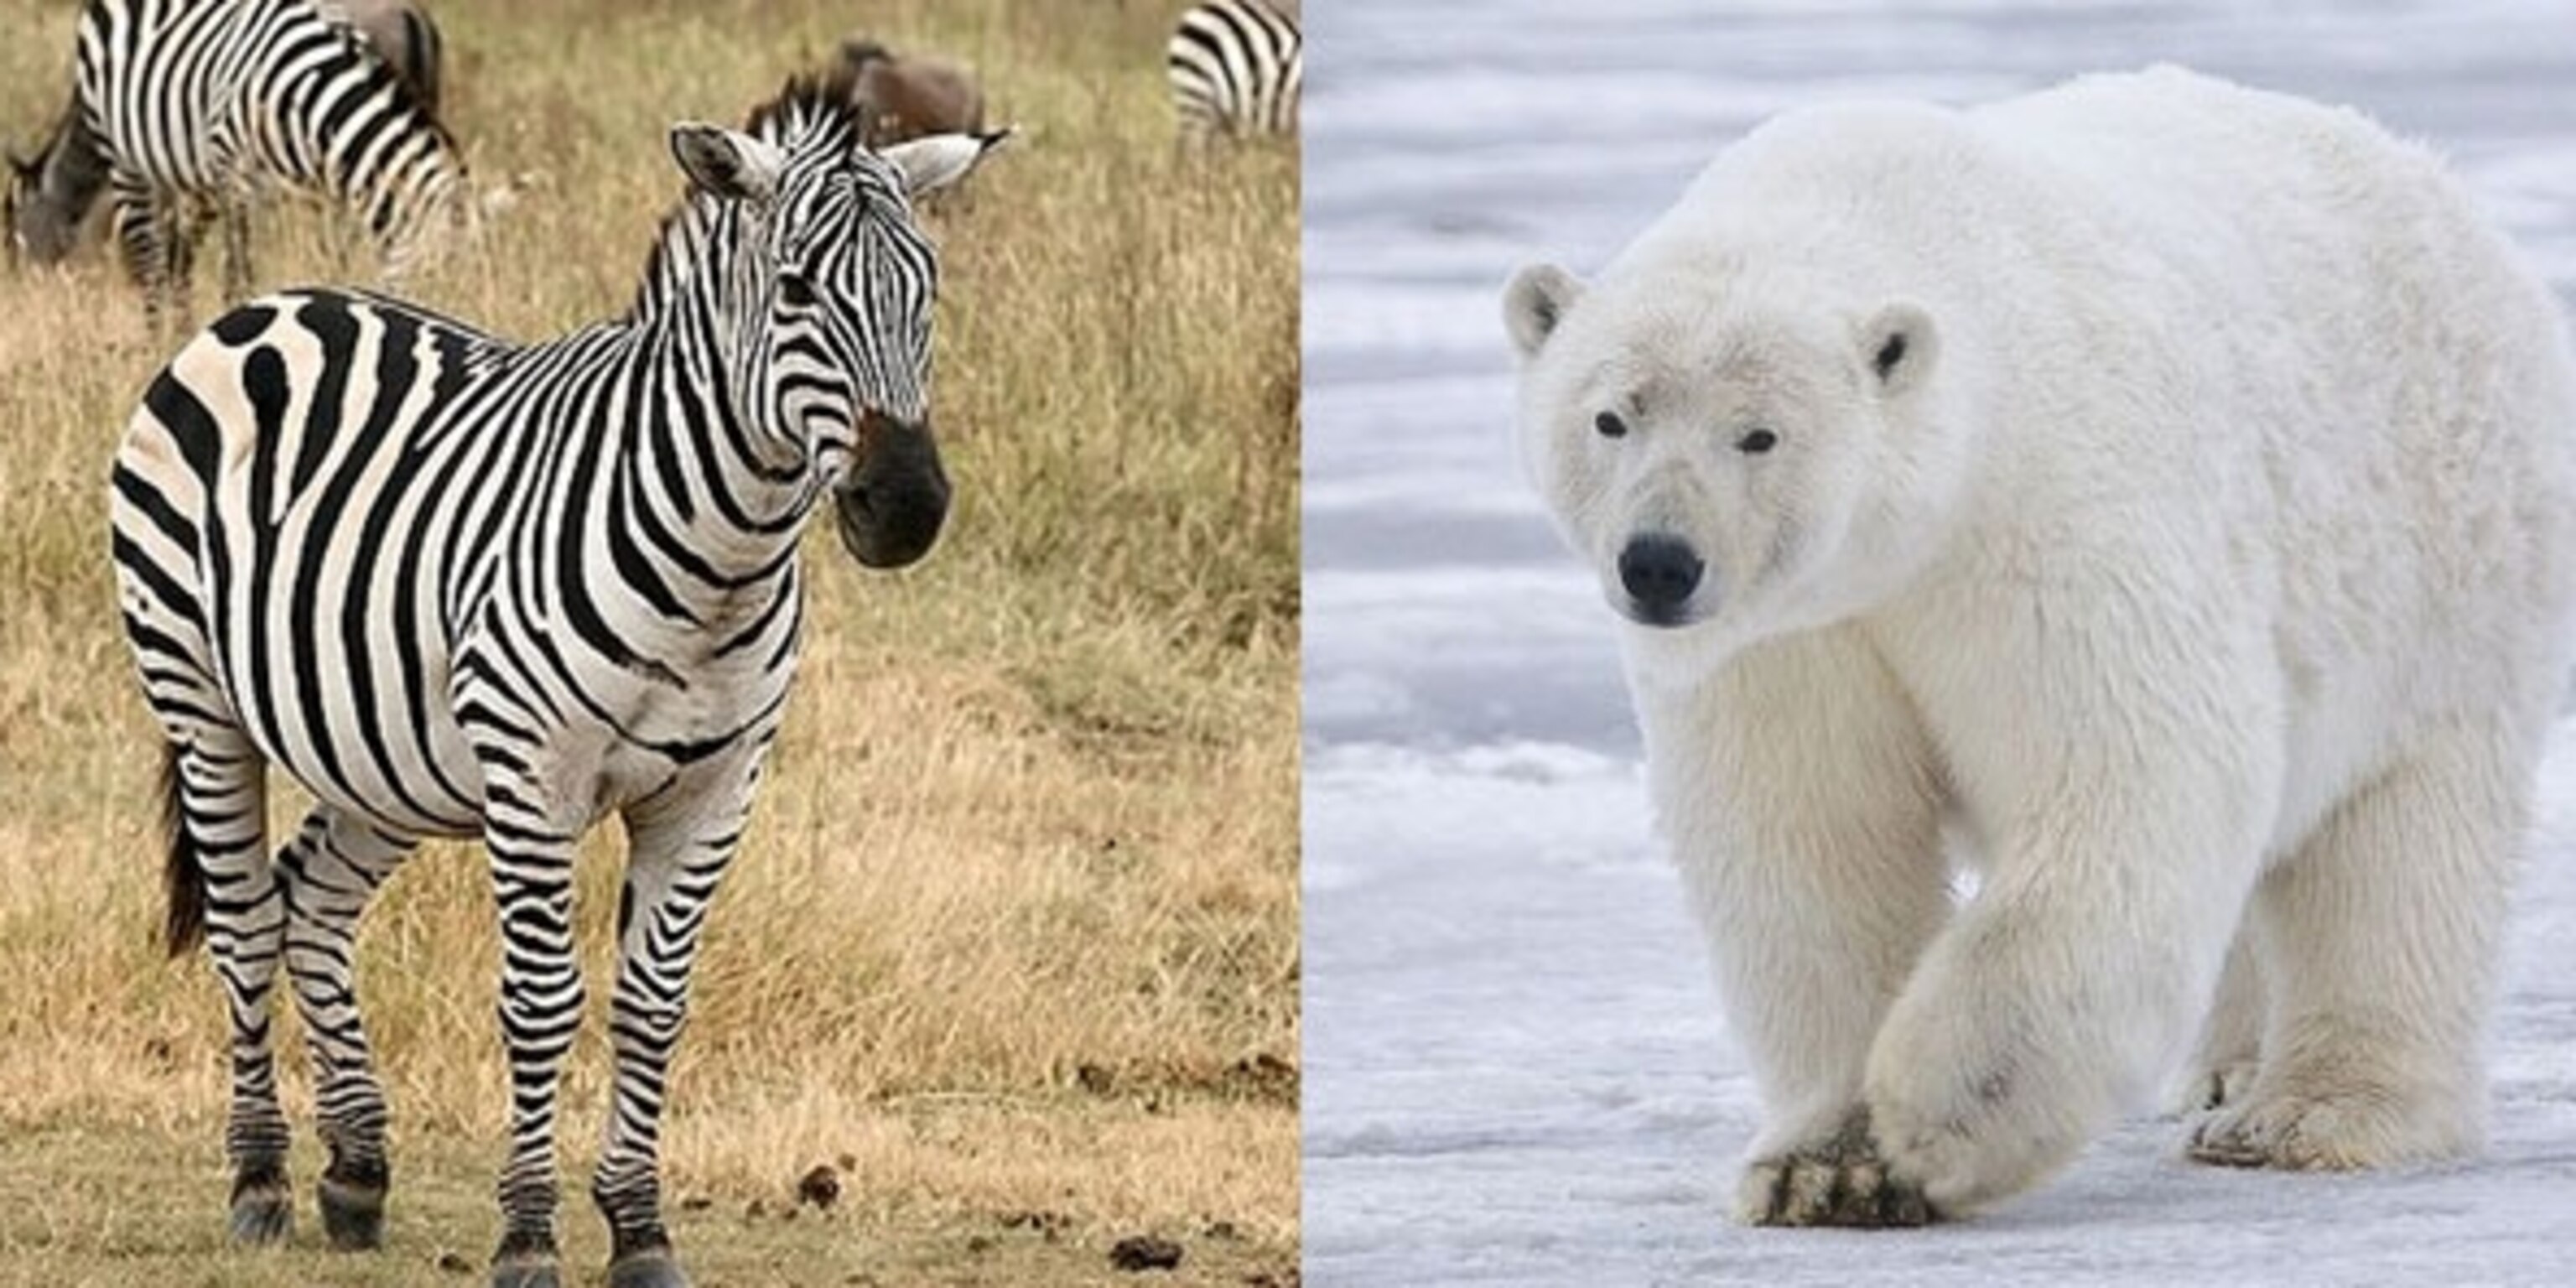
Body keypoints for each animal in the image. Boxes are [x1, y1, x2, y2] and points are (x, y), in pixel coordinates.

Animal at [4, 0, 465, 328]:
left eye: (13, 228)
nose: (25, 287)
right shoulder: (230, 175)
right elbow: (220, 268)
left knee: (153, 254)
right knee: (159, 254)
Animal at [110, 70, 1004, 1288]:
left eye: (929, 294)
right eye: (796, 289)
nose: (907, 507)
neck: (720, 562)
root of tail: (268, 306)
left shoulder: (715, 791)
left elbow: (653, 1005)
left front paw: (640, 1230)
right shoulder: (537, 779)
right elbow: (540, 1004)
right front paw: (530, 1236)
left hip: (385, 753)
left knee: (313, 900)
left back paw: (357, 1170)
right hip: (201, 698)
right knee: (247, 916)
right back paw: (259, 1180)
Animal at [1501, 65, 2576, 1226]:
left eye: (1760, 434)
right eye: (1611, 417)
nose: (1659, 563)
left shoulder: (2048, 518)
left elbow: (2129, 775)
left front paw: (1938, 1116)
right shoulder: (1793, 637)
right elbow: (1811, 838)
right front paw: (1824, 1167)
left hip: (2446, 566)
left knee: (2399, 847)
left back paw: (2305, 1116)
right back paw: (2227, 1068)